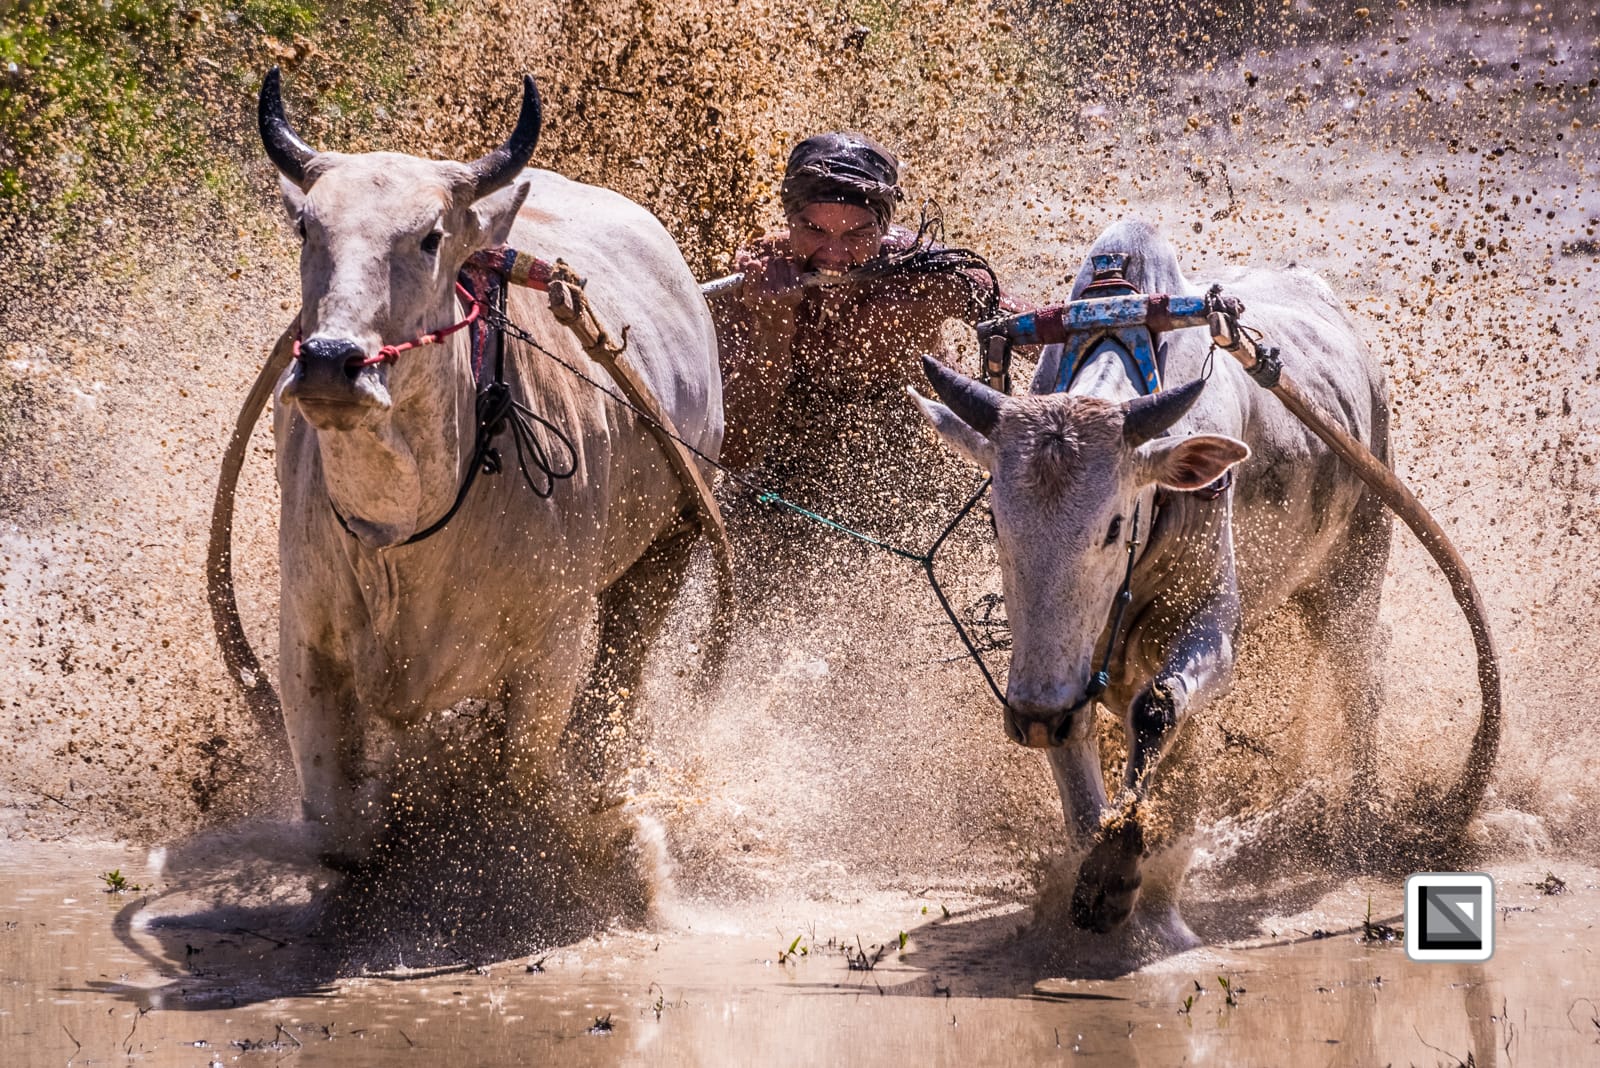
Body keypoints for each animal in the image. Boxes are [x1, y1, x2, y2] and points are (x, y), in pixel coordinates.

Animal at [256, 69, 723, 869]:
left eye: (429, 237)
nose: (328, 363)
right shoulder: (307, 643)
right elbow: (339, 827)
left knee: (623, 667)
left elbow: (520, 780)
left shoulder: (552, 646)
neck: (403, 532)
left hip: (668, 546)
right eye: (307, 229)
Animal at [911, 218, 1391, 944]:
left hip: (1358, 572)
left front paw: (1119, 869)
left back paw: (1355, 825)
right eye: (995, 518)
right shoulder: (1063, 669)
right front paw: (1097, 872)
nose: (1032, 716)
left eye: (1113, 525)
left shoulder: (1212, 628)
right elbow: (1081, 752)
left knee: (1358, 689)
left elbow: (1159, 708)